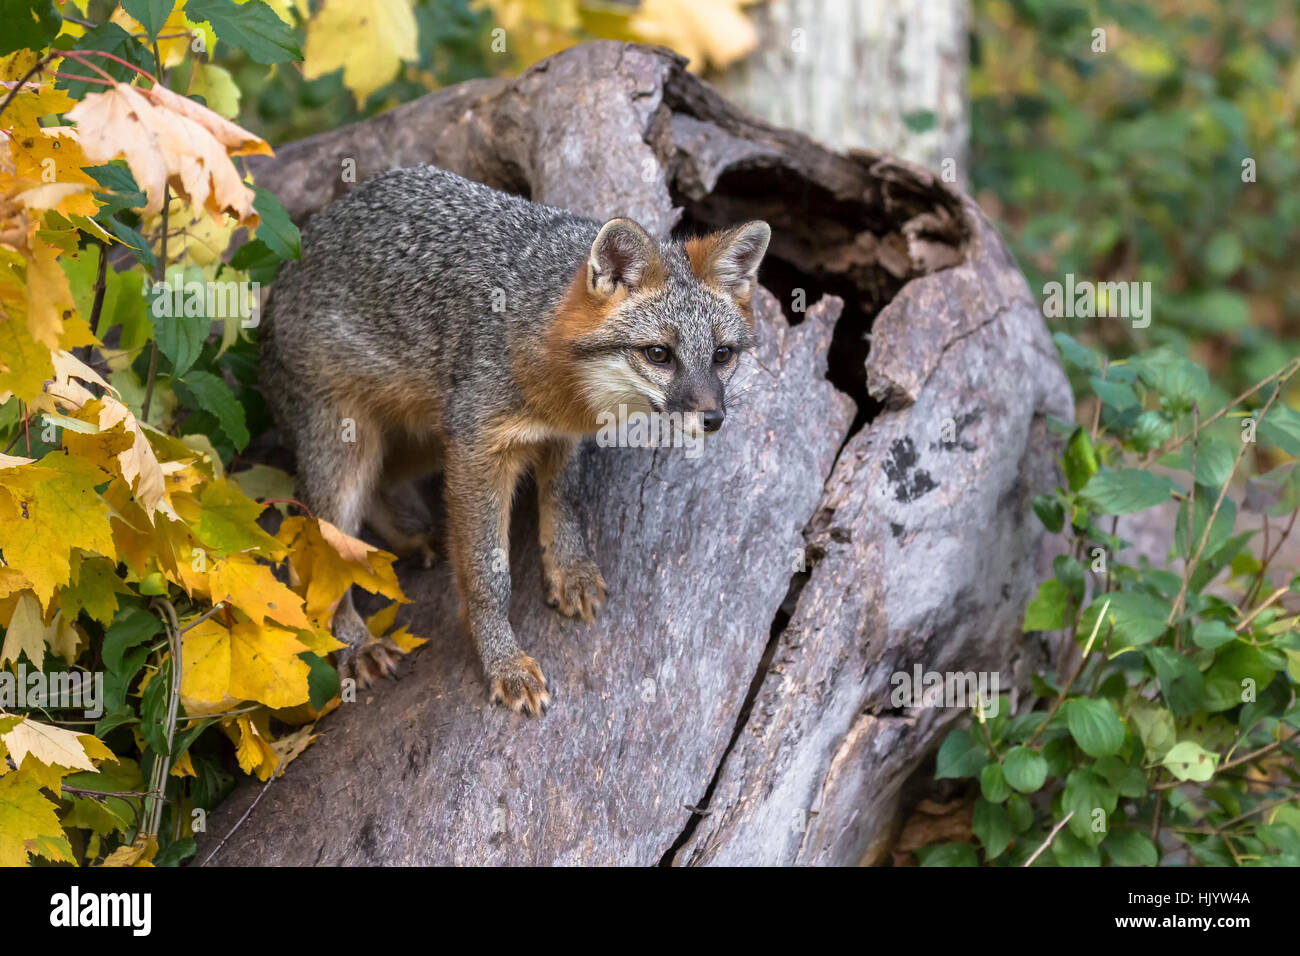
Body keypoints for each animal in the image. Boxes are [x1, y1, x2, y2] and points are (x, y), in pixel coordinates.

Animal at [259, 165, 770, 715]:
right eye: (659, 354)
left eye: (722, 355)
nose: (713, 418)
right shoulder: (478, 447)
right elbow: (488, 575)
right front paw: (503, 662)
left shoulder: (555, 435)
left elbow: (563, 499)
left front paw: (570, 570)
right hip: (349, 450)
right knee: (317, 551)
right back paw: (354, 642)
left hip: (424, 437)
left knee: (376, 496)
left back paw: (411, 536)